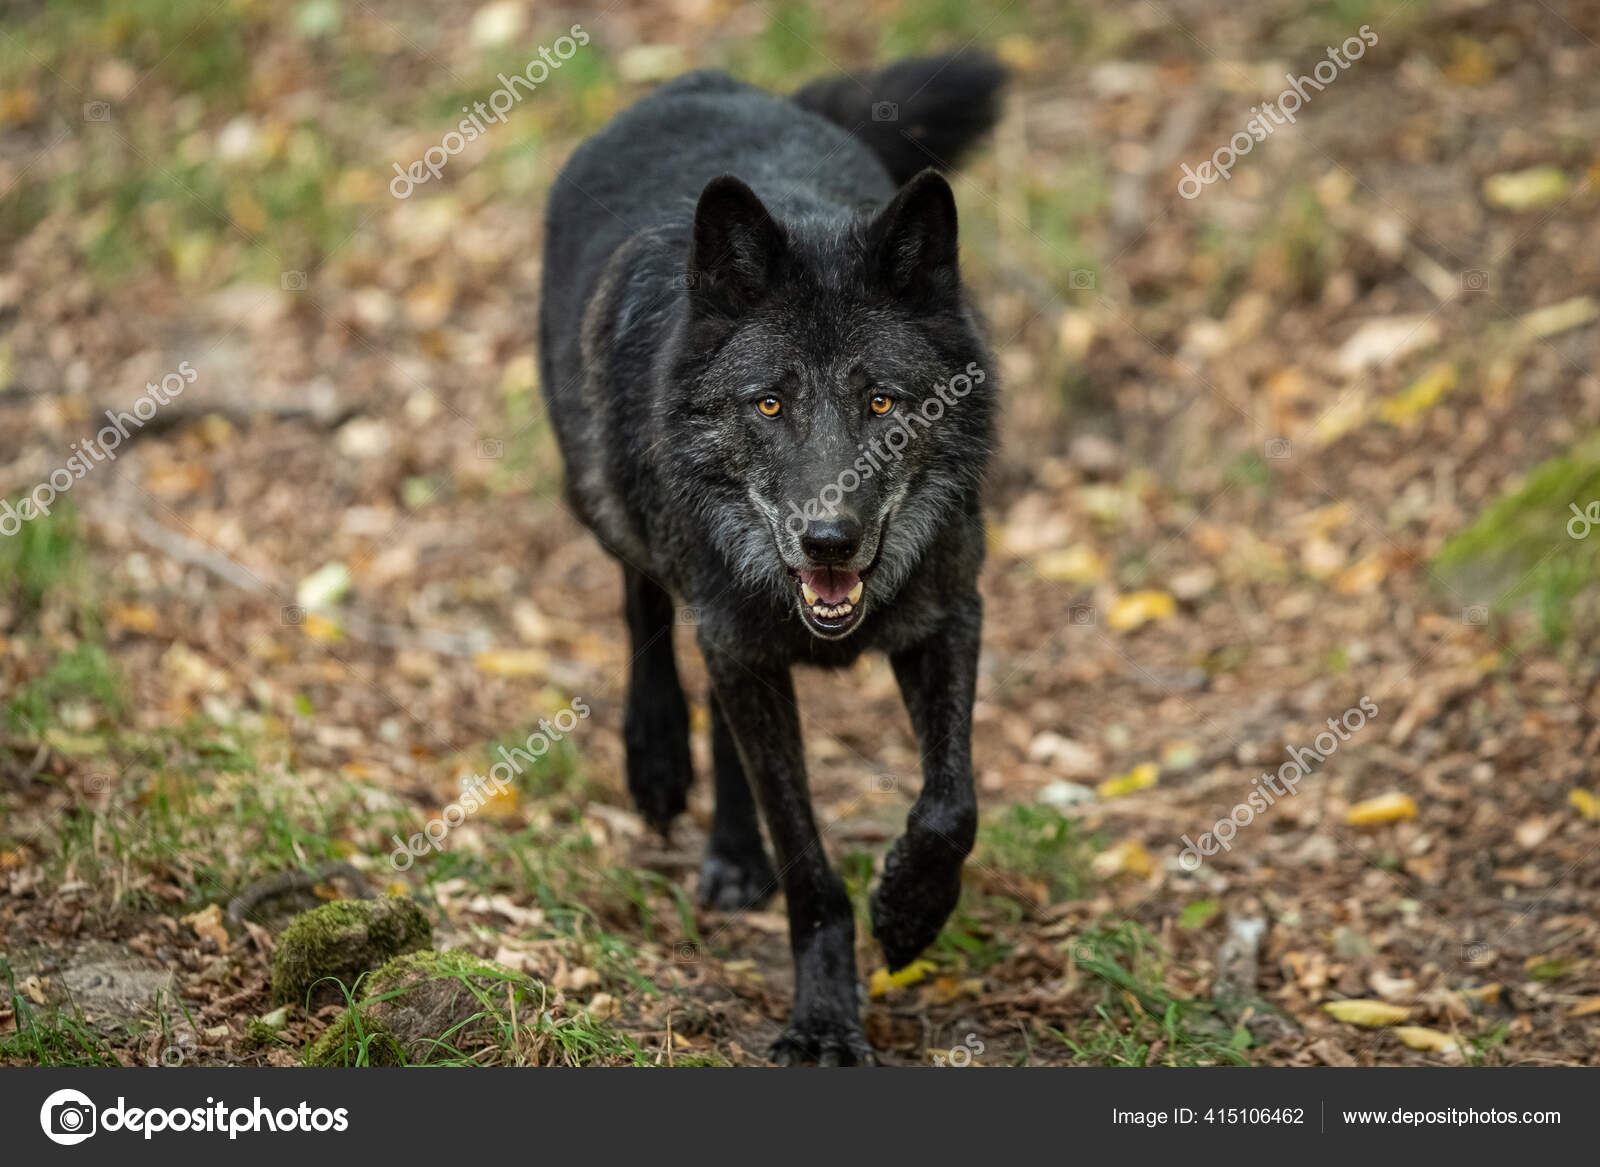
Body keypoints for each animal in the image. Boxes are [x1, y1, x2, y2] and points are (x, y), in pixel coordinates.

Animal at [539, 51, 1006, 1064]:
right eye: (769, 404)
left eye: (882, 402)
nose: (828, 537)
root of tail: (702, 79)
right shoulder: (741, 638)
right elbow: (809, 866)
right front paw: (825, 1018)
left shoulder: (949, 614)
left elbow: (952, 803)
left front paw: (910, 911)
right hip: (607, 509)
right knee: (643, 606)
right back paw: (659, 760)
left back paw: (732, 852)